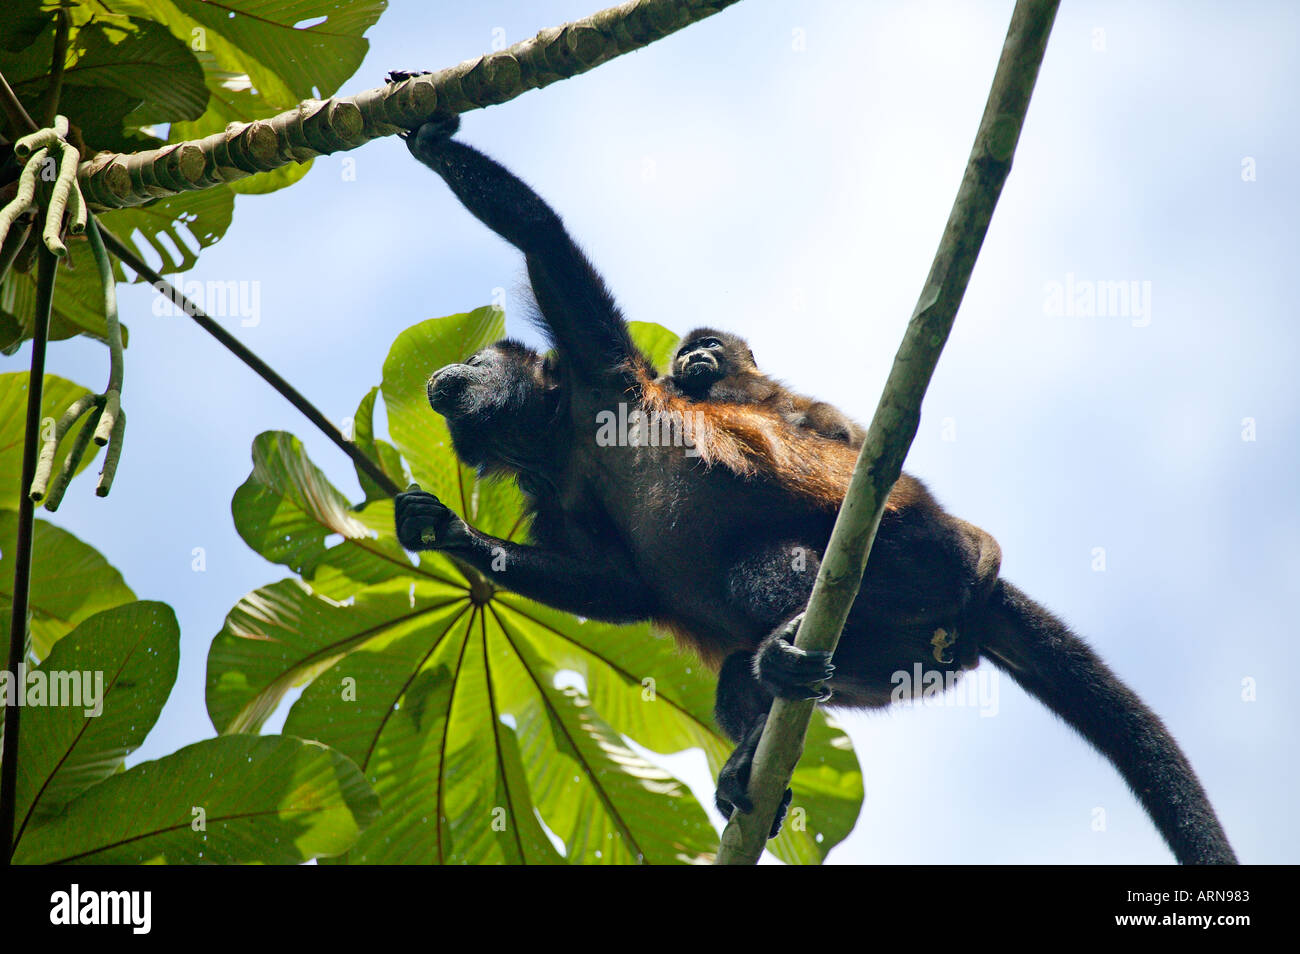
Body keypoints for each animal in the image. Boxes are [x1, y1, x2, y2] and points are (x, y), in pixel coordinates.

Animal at [664, 327, 866, 448]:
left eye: (711, 344)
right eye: (685, 352)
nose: (695, 356)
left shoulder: (751, 381)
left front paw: (674, 383)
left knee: (820, 408)